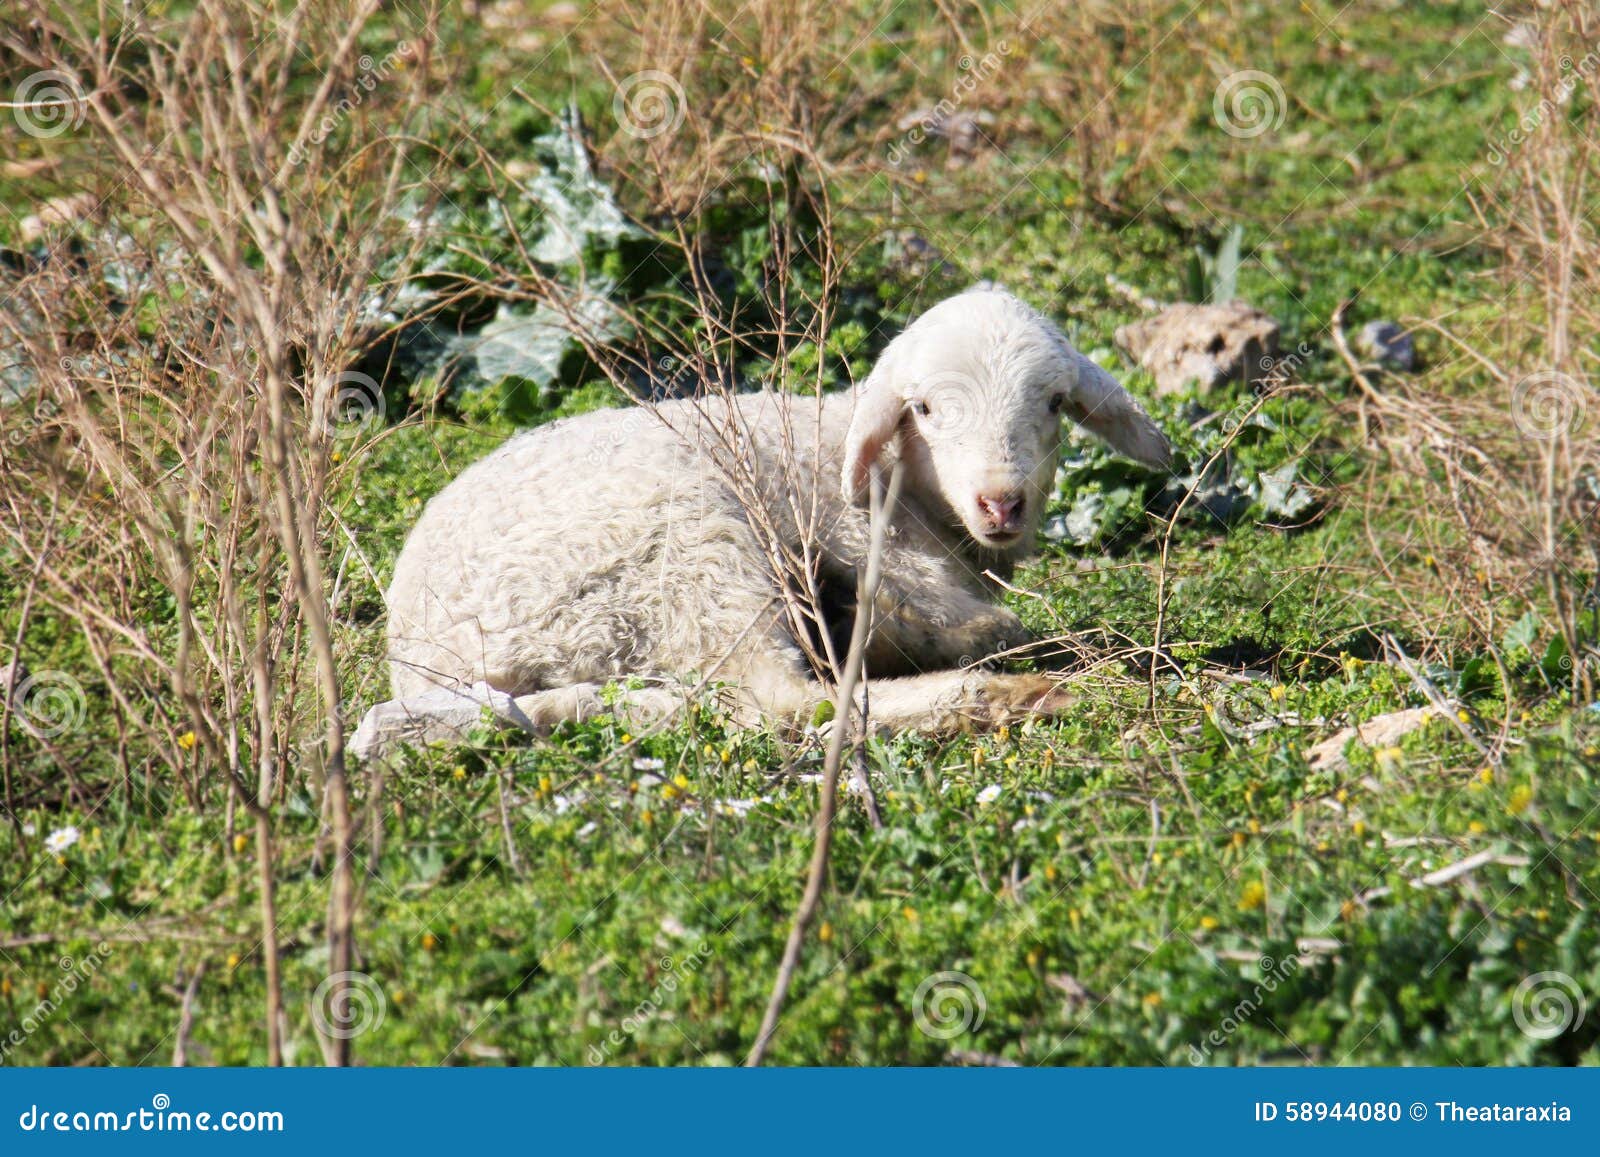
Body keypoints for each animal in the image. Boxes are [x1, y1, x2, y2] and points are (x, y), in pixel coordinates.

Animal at [384, 286, 1171, 733]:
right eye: (922, 408)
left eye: (1055, 402)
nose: (1001, 501)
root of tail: (430, 660)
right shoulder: (881, 553)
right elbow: (994, 624)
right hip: (689, 554)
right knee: (789, 702)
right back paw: (1010, 693)